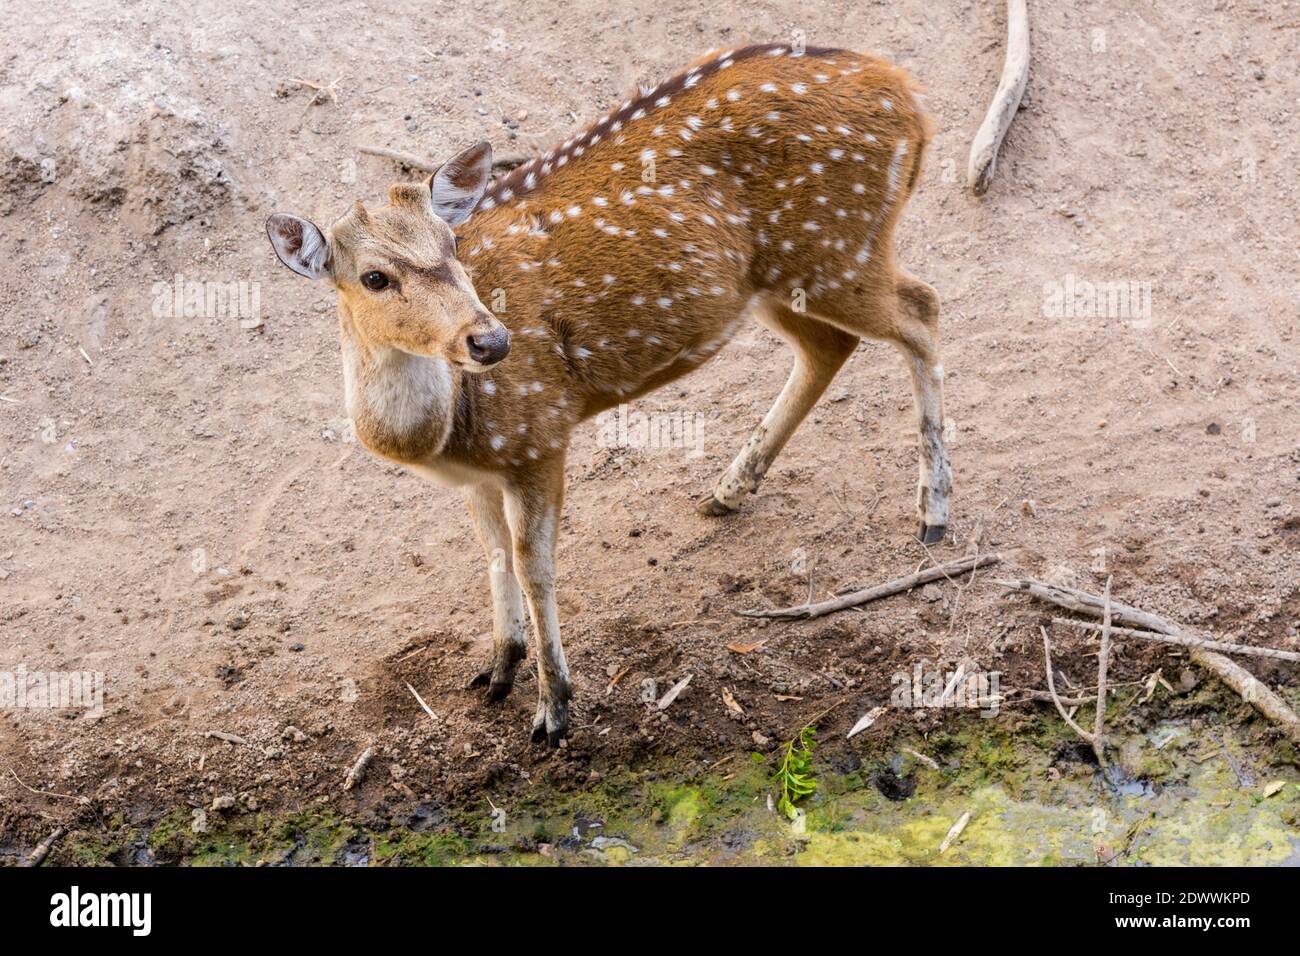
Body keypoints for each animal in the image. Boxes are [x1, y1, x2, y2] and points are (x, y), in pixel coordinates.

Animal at [265, 43, 951, 747]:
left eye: (452, 244)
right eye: (374, 277)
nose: (491, 340)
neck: (448, 430)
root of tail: (909, 95)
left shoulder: (538, 435)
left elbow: (532, 564)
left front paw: (554, 711)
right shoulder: (478, 476)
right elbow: (492, 557)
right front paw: (497, 670)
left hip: (838, 247)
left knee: (921, 309)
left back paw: (933, 511)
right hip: (783, 276)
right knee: (830, 345)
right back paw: (728, 490)